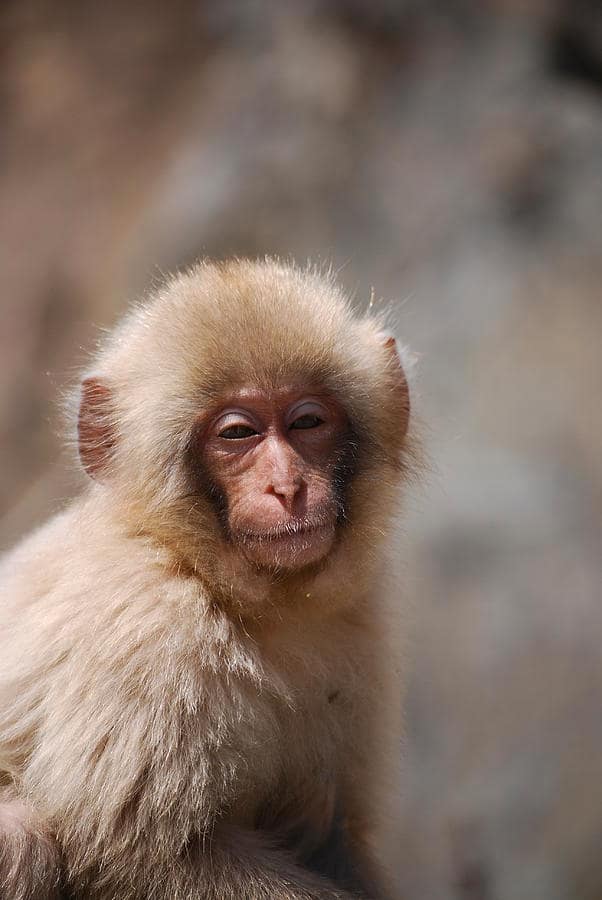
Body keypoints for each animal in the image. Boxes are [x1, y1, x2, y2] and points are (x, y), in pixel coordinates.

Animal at [0, 258, 412, 900]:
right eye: (237, 434)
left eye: (308, 422)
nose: (287, 487)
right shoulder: (146, 630)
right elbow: (142, 853)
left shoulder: (363, 619)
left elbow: (333, 835)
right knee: (20, 837)